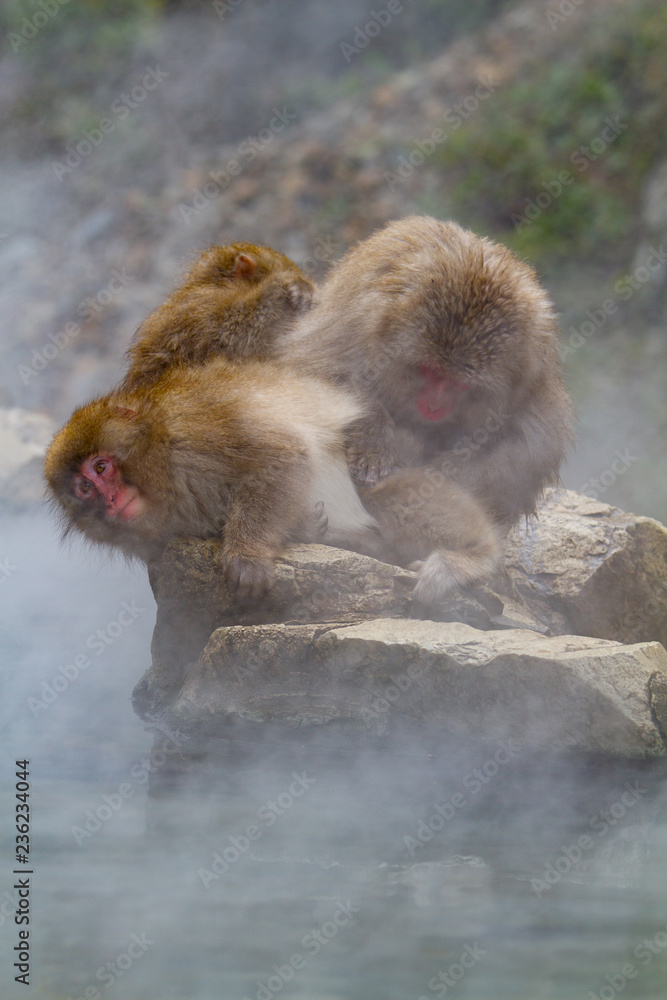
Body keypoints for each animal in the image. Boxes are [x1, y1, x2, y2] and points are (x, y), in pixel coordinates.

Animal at [278, 215, 574, 534]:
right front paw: (373, 439)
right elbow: (312, 373)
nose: (434, 405)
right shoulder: (357, 321)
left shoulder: (531, 370)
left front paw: (439, 475)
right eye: (429, 371)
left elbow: (530, 450)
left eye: (460, 383)